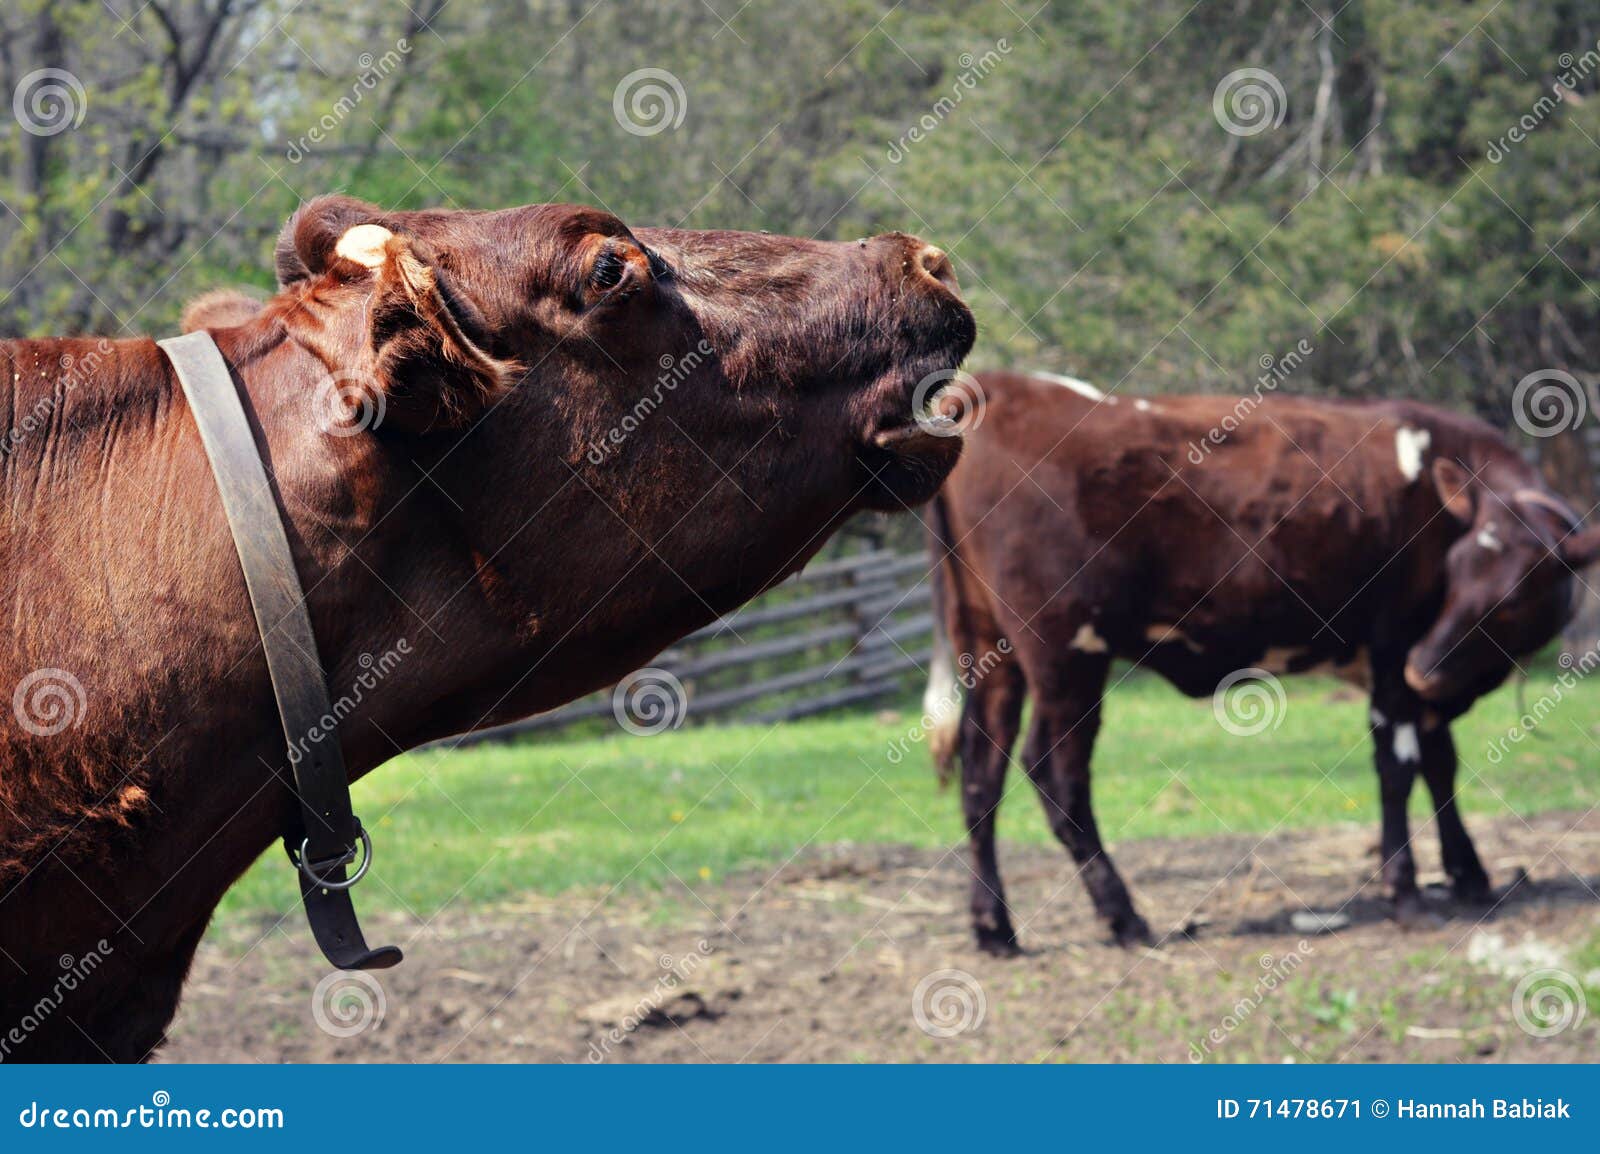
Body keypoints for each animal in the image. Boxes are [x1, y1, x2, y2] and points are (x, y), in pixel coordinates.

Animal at [924, 368, 1600, 953]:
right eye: (1458, 570)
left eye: (1513, 595)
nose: (1426, 666)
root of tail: (1000, 386)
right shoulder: (1392, 652)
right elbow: (1399, 768)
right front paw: (1406, 891)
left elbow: (1442, 764)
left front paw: (1469, 874)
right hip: (1064, 653)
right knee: (1055, 773)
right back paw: (1123, 916)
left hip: (991, 650)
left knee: (981, 773)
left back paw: (994, 929)